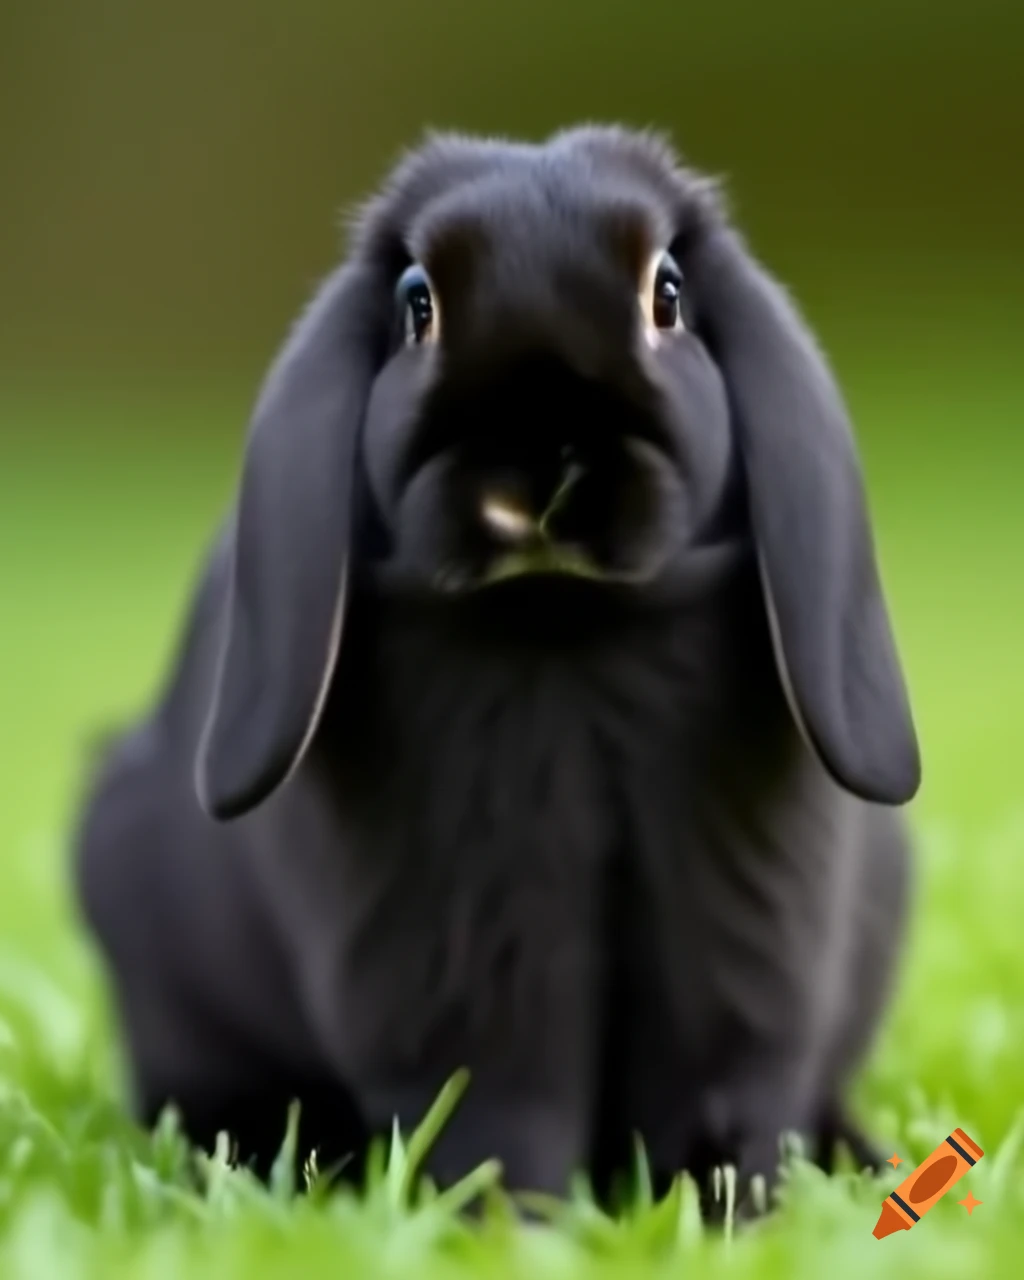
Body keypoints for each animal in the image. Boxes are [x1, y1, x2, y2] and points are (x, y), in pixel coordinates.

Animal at [72, 124, 920, 1216]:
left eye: (667, 294)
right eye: (417, 303)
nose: (544, 467)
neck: (567, 630)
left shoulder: (748, 941)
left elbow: (728, 1084)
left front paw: (728, 1212)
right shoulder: (456, 953)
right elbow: (492, 1100)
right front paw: (505, 1223)